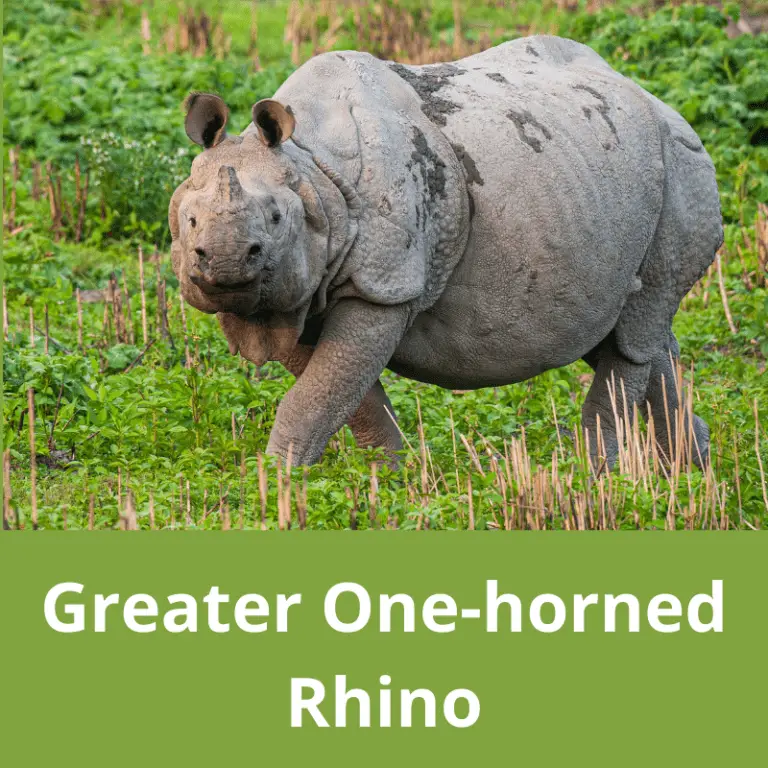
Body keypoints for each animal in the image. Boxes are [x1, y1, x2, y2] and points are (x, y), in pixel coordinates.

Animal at [169, 35, 722, 468]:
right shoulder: (294, 292)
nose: (223, 265)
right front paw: (392, 482)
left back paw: (601, 480)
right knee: (619, 327)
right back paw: (690, 468)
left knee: (636, 330)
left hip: (683, 166)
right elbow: (349, 399)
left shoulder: (386, 285)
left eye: (276, 220)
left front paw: (277, 487)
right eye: (190, 221)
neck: (312, 176)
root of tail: (657, 100)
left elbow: (315, 398)